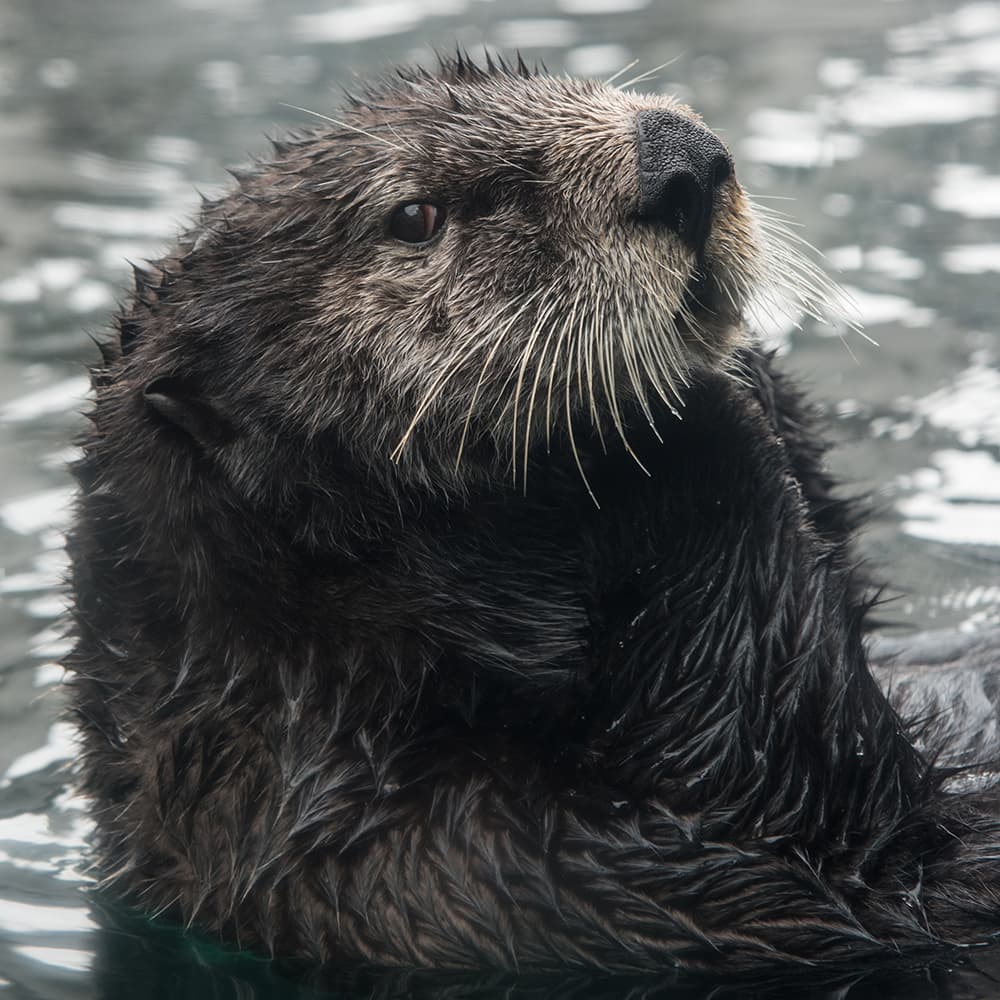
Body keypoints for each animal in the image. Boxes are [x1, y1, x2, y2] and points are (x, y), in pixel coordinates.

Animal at [67, 55, 1000, 974]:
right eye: (414, 217)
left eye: (567, 86)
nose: (683, 157)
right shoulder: (470, 858)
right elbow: (821, 798)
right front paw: (670, 411)